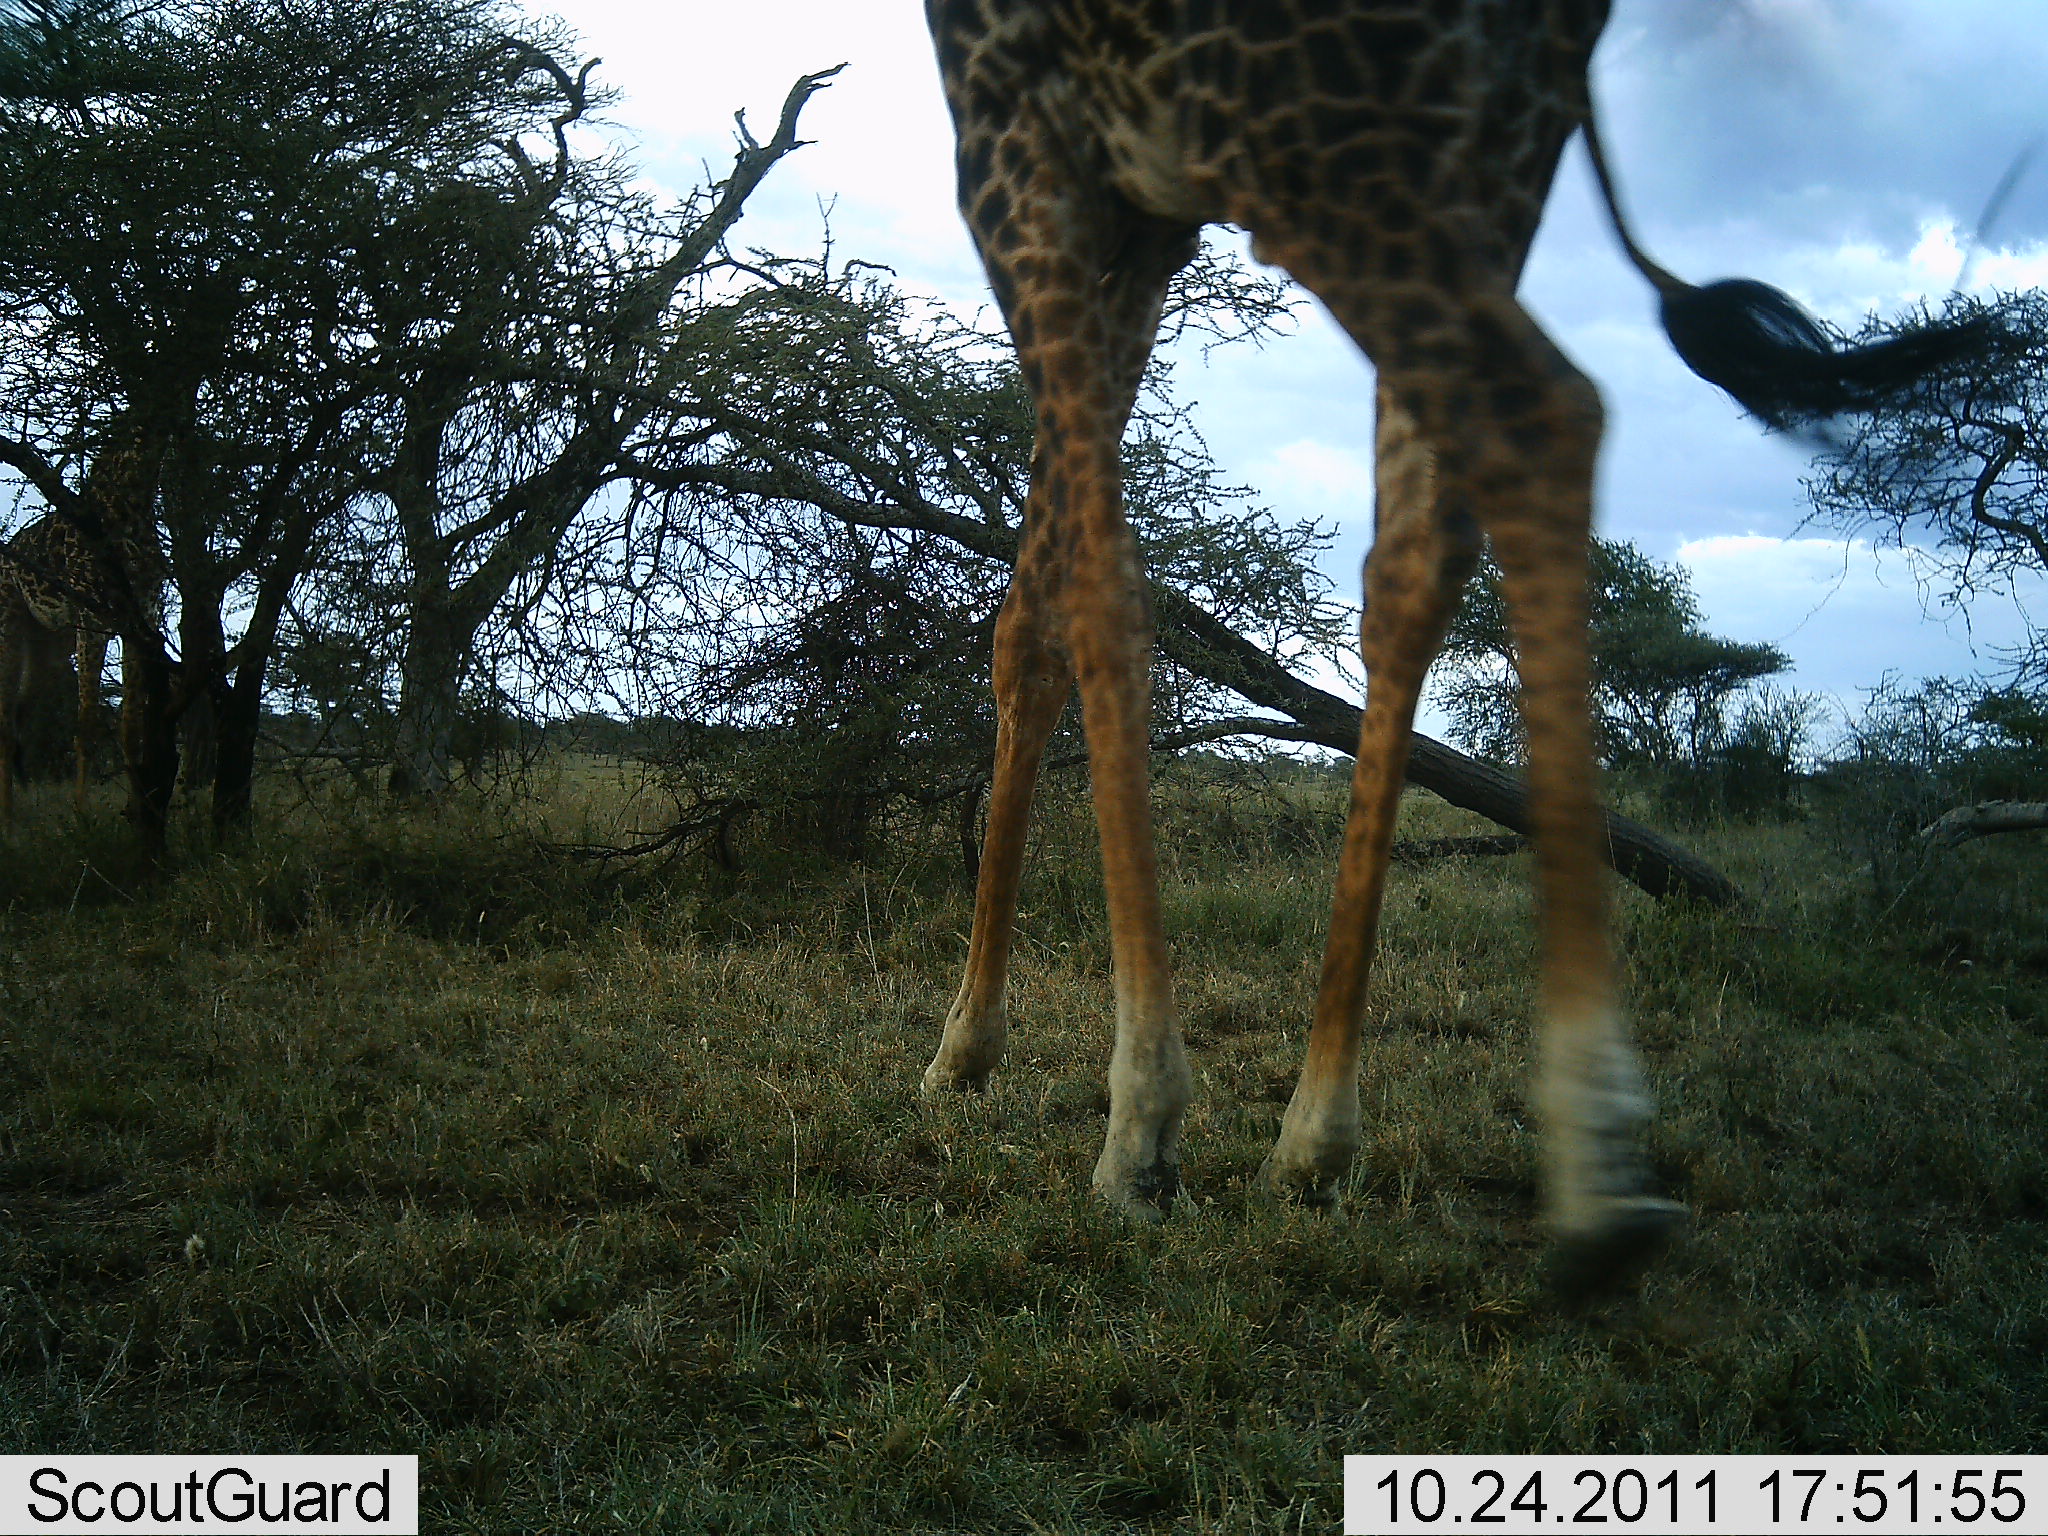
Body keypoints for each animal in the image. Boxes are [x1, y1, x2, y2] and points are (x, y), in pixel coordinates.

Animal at [0, 429, 169, 826]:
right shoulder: (93, 621)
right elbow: (87, 722)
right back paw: (7, 822)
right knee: (4, 721)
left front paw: (138, 811)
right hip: (9, 625)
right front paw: (81, 817)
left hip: (49, 642)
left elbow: (131, 726)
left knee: (20, 716)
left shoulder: (141, 621)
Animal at [921, 0, 1998, 1282]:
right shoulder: (1146, 212)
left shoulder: (1016, 133)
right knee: (1417, 564)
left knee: (1537, 411)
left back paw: (1591, 1157)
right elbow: (1034, 610)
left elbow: (1094, 585)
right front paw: (967, 1050)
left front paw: (1131, 1132)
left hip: (1313, 143)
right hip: (1477, 169)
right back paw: (1319, 1139)